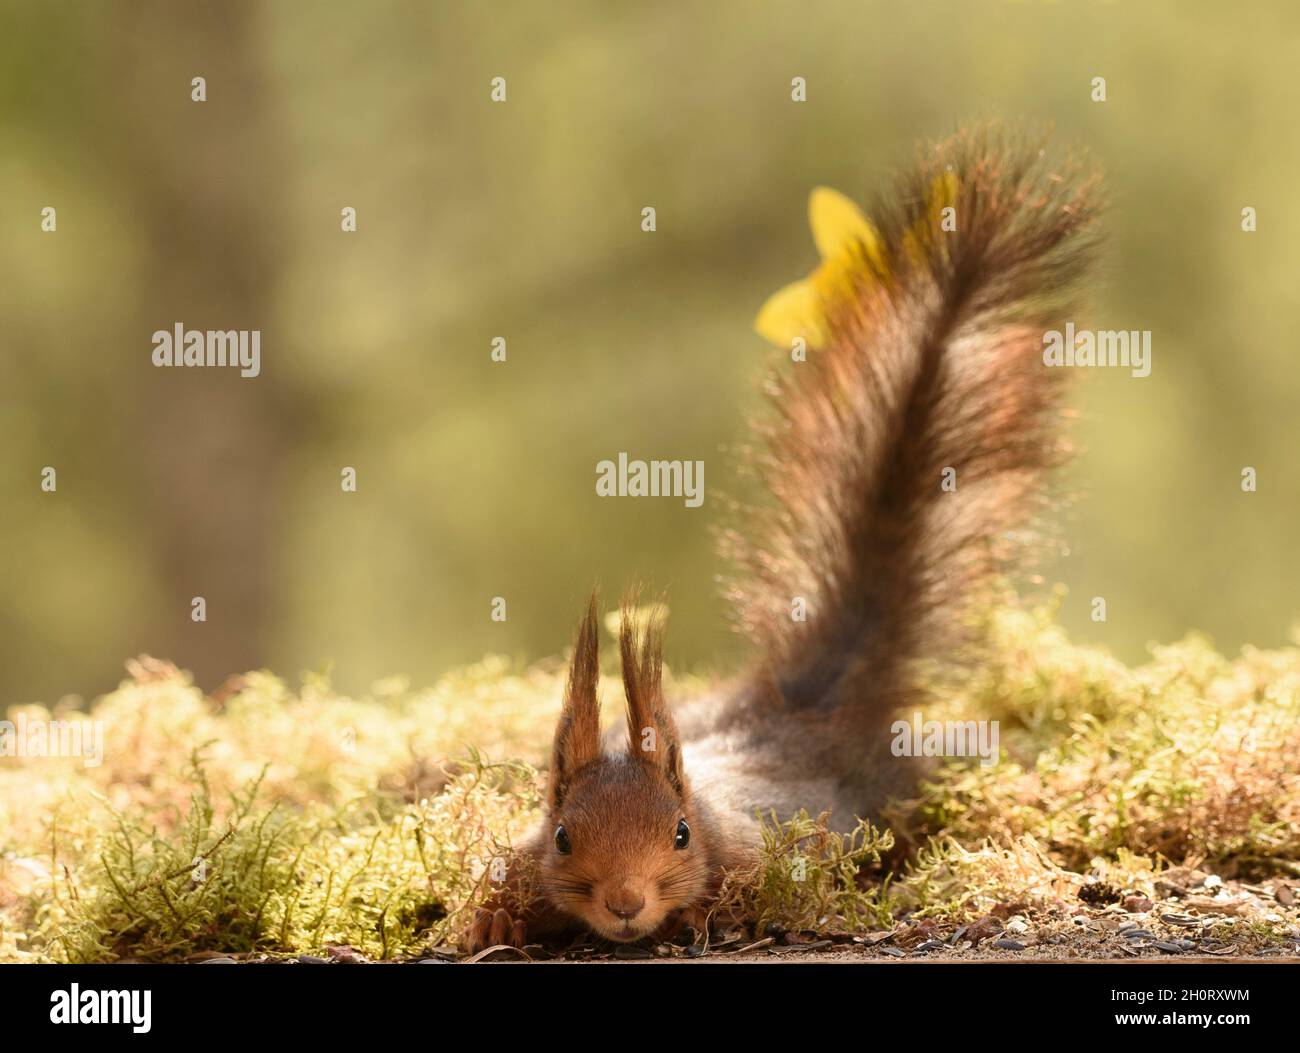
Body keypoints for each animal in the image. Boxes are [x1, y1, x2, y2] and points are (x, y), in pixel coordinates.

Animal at [468, 127, 1102, 953]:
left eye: (680, 833)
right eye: (564, 836)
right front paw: (492, 919)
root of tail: (804, 712)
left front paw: (700, 916)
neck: (707, 806)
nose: (626, 901)